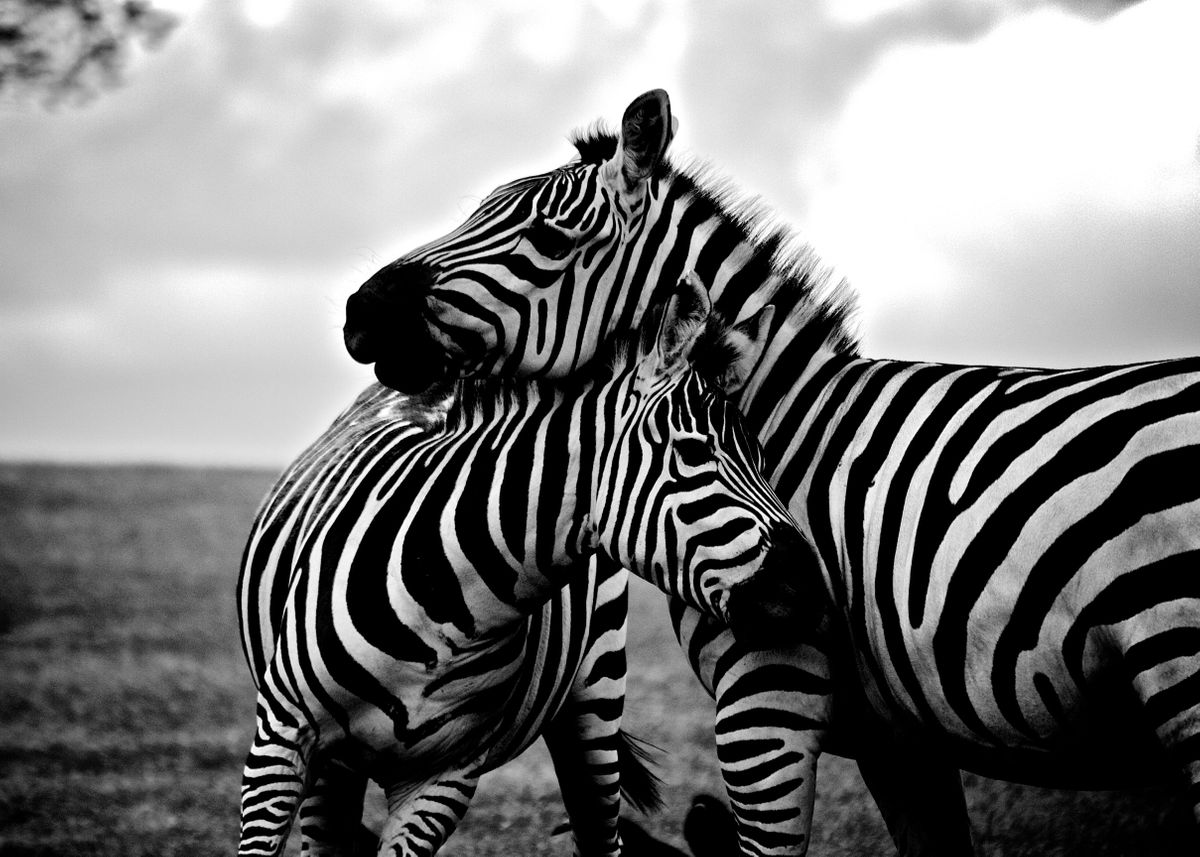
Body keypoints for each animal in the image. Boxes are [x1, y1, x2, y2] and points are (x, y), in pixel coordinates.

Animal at [236, 274, 809, 857]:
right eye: (693, 453)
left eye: (764, 461)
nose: (812, 590)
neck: (441, 602)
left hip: (594, 700)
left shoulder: (444, 776)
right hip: (334, 768)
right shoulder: (280, 739)